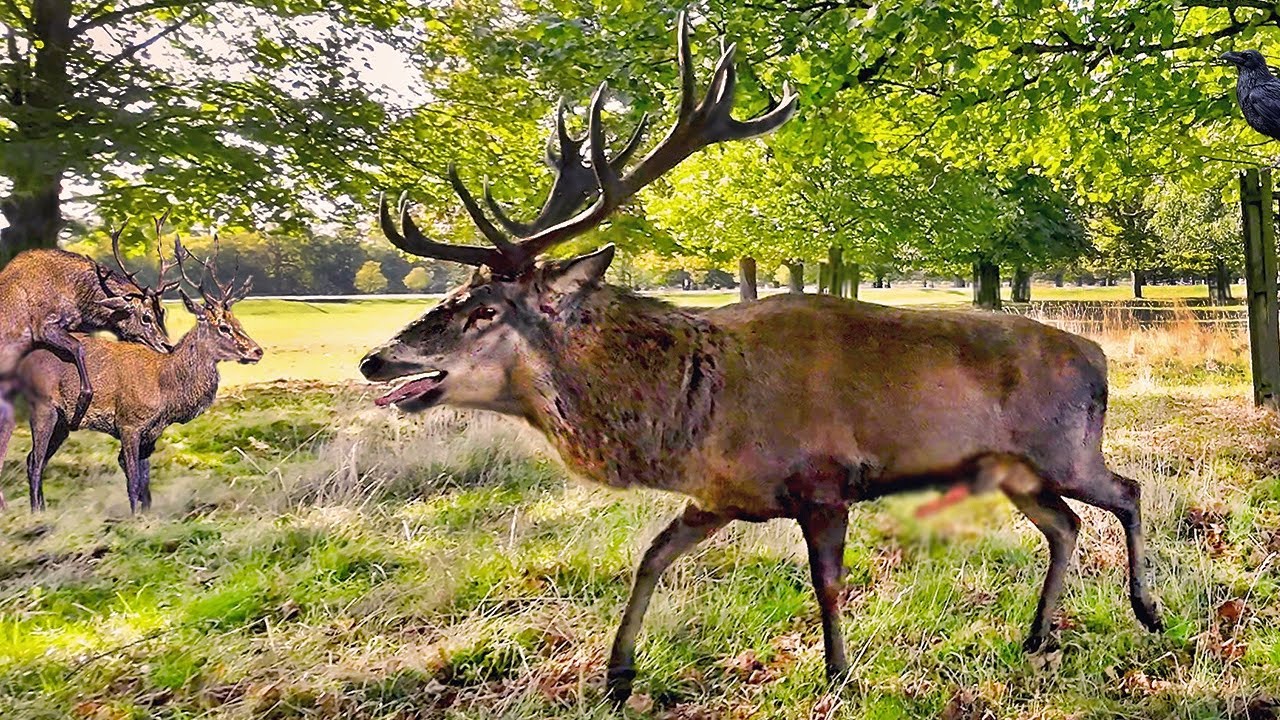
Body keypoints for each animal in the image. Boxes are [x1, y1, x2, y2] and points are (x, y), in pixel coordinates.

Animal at [0, 227, 177, 508]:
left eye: (163, 314)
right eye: (145, 317)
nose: (167, 346)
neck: (80, 299)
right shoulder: (45, 325)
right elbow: (79, 348)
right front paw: (84, 398)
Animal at [16, 239, 262, 512]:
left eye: (238, 322)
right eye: (223, 327)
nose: (257, 351)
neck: (167, 391)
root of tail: (25, 360)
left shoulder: (151, 434)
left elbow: (146, 486)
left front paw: (146, 517)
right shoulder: (128, 423)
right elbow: (133, 482)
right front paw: (134, 520)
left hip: (64, 422)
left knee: (33, 459)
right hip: (43, 408)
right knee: (35, 463)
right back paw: (36, 514)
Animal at [358, 14, 1163, 703]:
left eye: (484, 310)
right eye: (454, 293)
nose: (374, 361)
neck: (694, 420)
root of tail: (1098, 356)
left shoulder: (824, 480)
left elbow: (826, 584)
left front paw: (839, 677)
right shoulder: (721, 497)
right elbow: (652, 555)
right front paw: (618, 675)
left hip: (1063, 448)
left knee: (1125, 491)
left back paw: (1145, 611)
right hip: (1015, 470)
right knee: (1066, 526)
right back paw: (1037, 636)